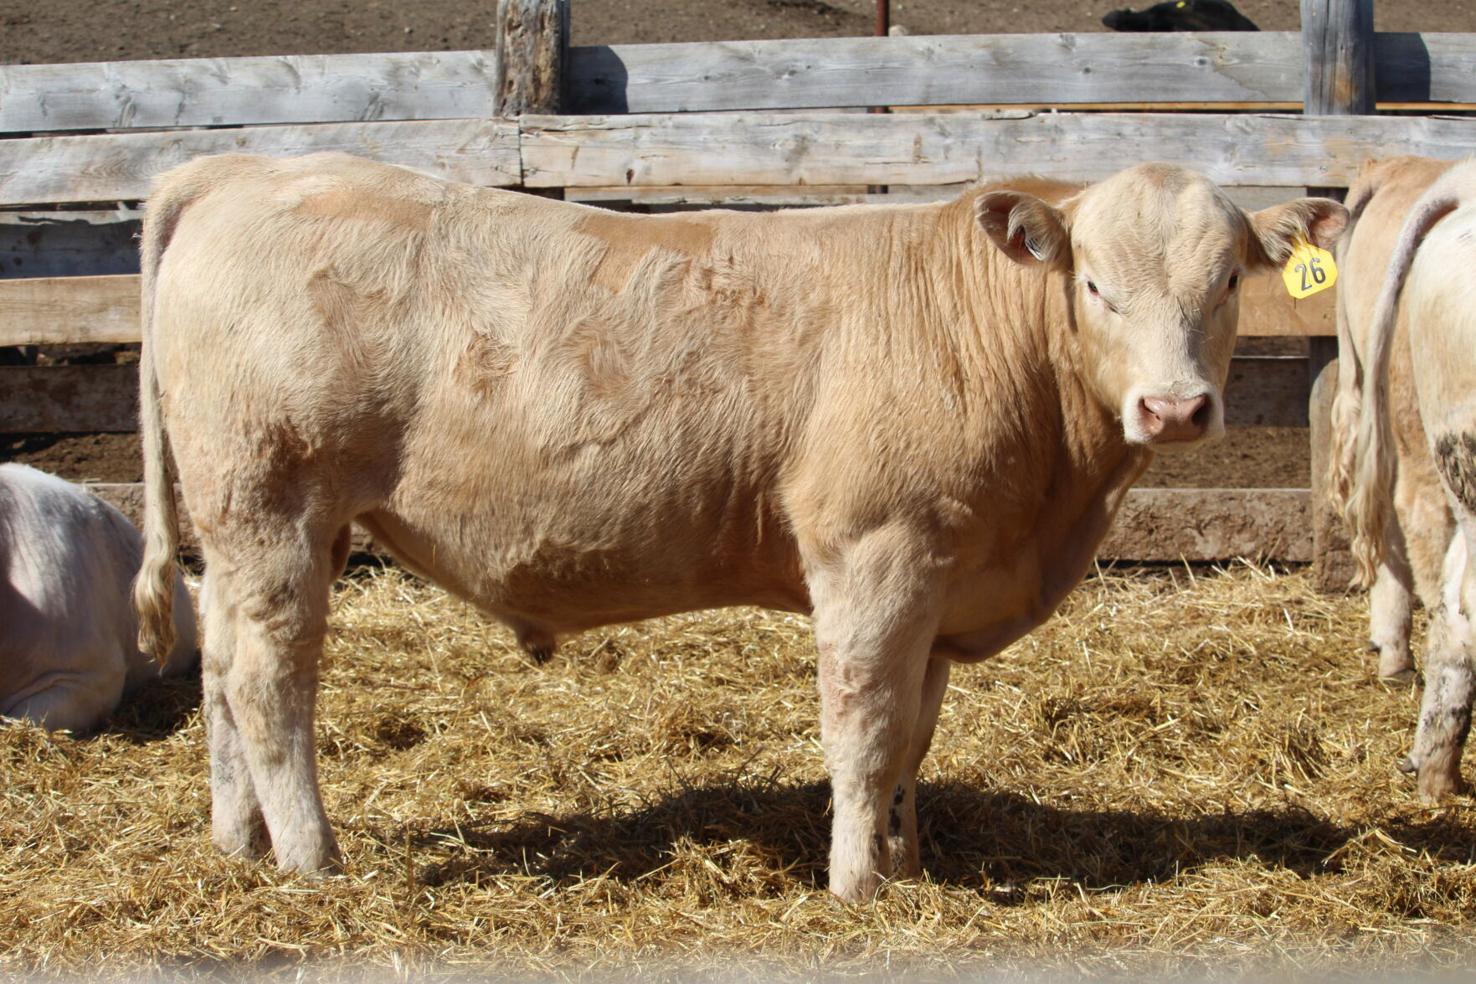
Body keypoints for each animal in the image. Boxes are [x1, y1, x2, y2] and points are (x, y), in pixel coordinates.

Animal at [131, 152, 1345, 901]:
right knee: (269, 685)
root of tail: (240, 168)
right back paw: (312, 861)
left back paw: (238, 846)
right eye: (1093, 284)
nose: (1175, 408)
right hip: (275, 505)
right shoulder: (874, 554)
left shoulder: (939, 577)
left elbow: (913, 737)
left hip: (254, 530)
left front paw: (908, 867)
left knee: (222, 673)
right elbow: (862, 733)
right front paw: (856, 887)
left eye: (1228, 280)